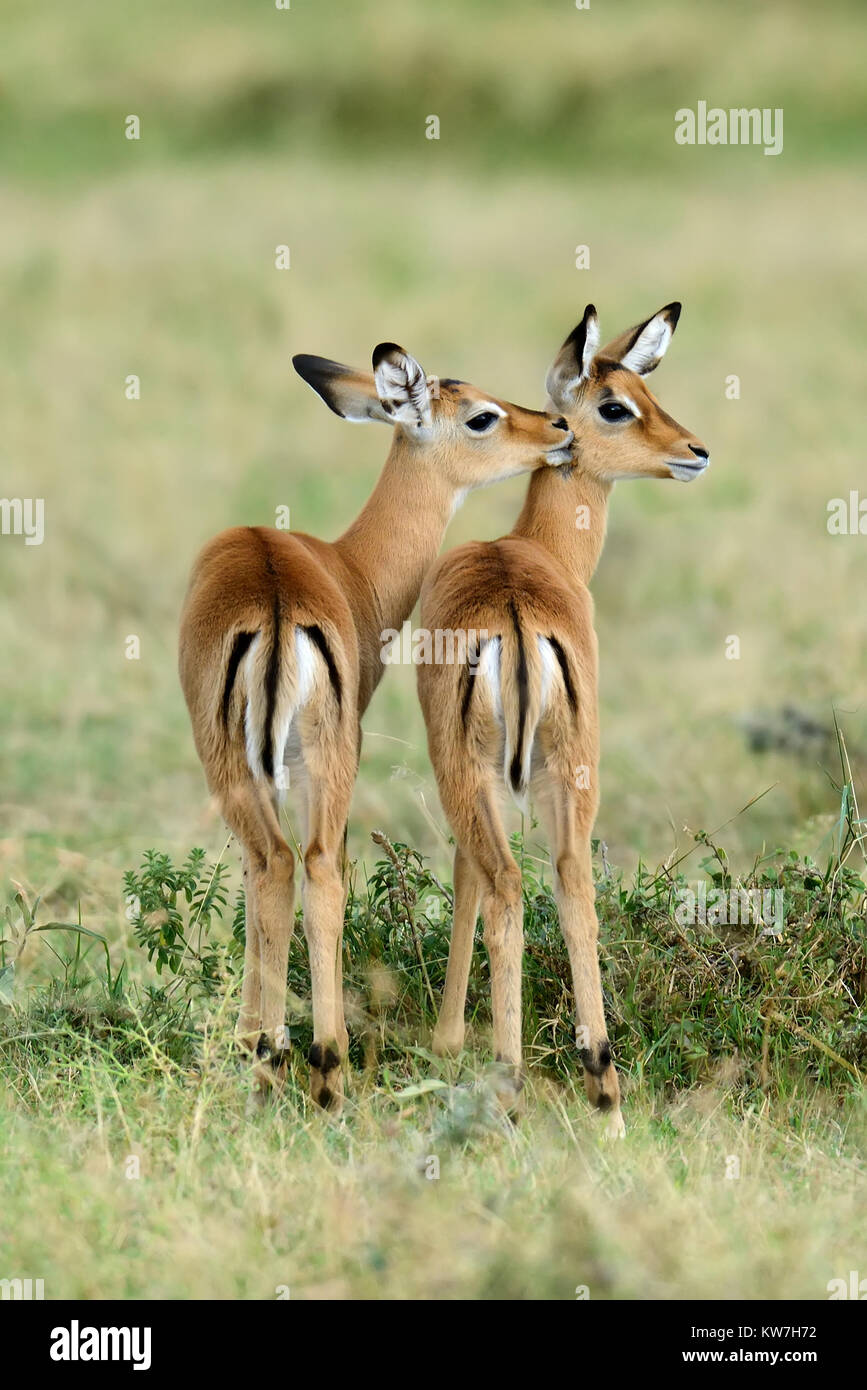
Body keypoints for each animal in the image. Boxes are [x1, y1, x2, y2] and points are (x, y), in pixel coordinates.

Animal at [178, 342, 574, 1110]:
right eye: (481, 416)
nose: (559, 429)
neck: (349, 568)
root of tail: (276, 600)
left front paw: (253, 1035)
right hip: (315, 761)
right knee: (310, 870)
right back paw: (316, 1061)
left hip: (264, 766)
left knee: (287, 867)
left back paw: (290, 1056)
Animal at [417, 303, 709, 1138]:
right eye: (616, 404)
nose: (695, 453)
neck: (533, 550)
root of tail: (515, 615)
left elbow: (465, 875)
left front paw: (447, 1042)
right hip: (568, 773)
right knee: (573, 888)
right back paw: (603, 1092)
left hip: (477, 774)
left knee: (506, 886)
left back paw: (507, 1083)